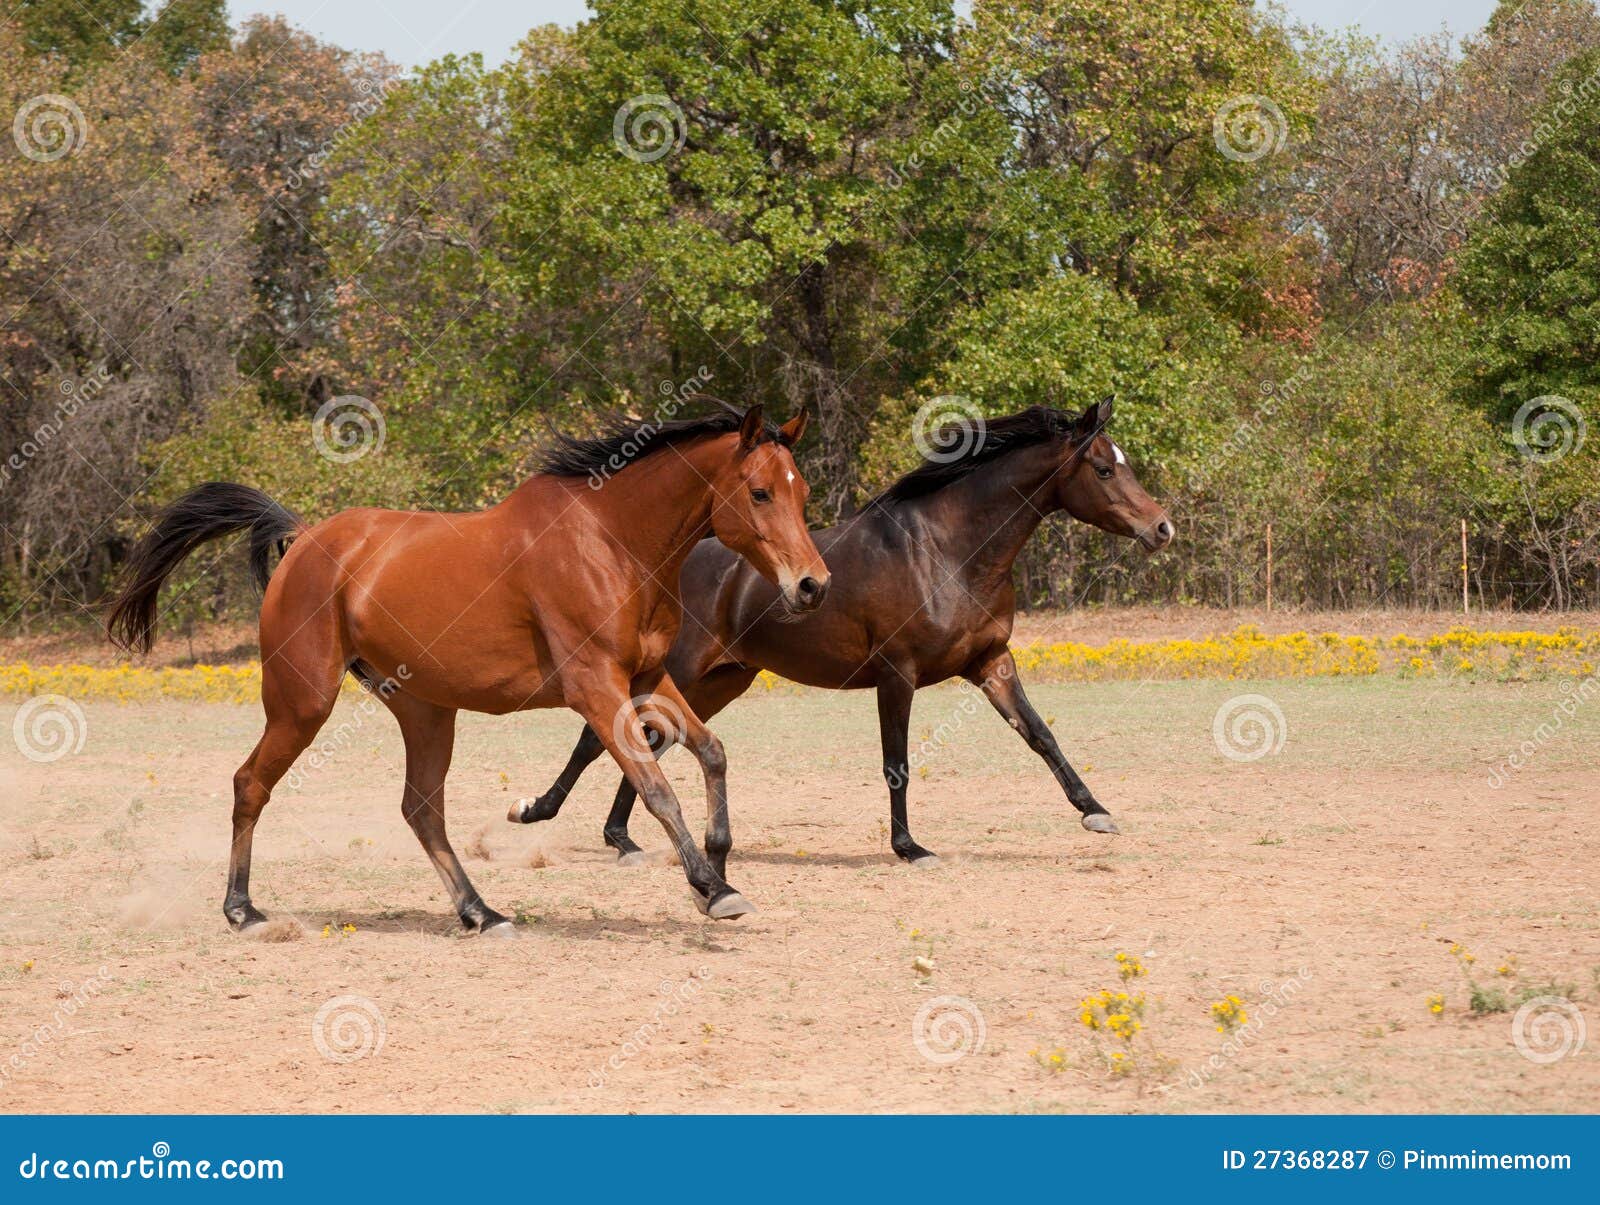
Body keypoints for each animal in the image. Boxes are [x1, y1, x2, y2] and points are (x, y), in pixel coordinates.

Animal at [105, 403, 830, 934]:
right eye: (759, 493)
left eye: (802, 495)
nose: (813, 586)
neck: (612, 541)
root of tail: (306, 538)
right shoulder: (597, 689)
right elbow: (656, 787)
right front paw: (710, 886)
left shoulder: (648, 681)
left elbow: (711, 751)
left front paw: (720, 865)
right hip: (303, 703)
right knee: (250, 784)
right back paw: (243, 910)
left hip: (425, 709)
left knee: (421, 809)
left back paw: (481, 911)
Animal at [516, 398, 1173, 866]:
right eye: (1104, 468)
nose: (1161, 527)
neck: (945, 551)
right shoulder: (897, 674)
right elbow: (897, 762)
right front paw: (910, 848)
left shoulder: (991, 663)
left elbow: (1040, 735)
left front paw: (1096, 812)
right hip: (674, 672)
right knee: (604, 738)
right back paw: (548, 814)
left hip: (721, 682)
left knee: (652, 741)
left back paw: (621, 836)